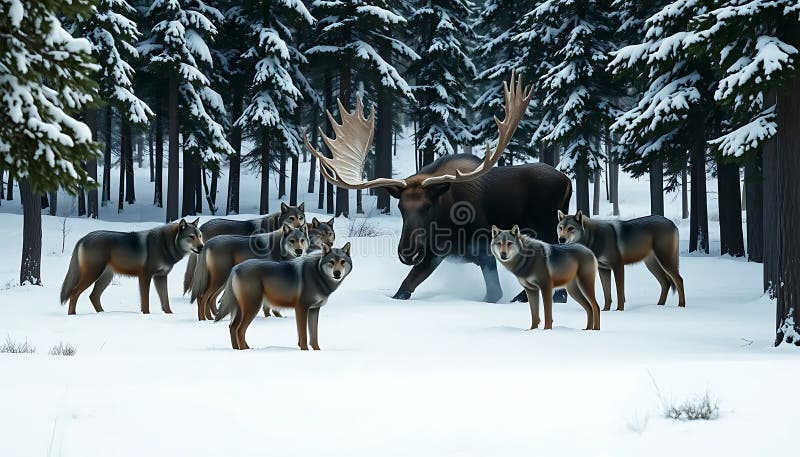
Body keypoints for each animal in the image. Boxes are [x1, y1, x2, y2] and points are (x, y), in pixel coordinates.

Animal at [60, 219, 203, 315]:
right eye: (191, 237)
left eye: (200, 235)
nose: (202, 246)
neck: (164, 245)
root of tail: (83, 238)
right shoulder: (145, 276)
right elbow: (145, 302)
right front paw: (146, 315)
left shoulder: (161, 277)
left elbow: (165, 301)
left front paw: (169, 315)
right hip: (93, 274)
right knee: (74, 293)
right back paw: (72, 315)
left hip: (105, 278)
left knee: (93, 296)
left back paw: (103, 314)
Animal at [215, 243, 352, 350]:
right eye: (331, 262)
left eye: (342, 262)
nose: (337, 273)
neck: (317, 274)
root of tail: (235, 268)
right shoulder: (301, 308)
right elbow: (303, 335)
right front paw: (305, 351)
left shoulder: (314, 309)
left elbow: (314, 336)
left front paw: (317, 351)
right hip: (252, 307)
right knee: (239, 330)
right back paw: (245, 351)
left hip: (241, 309)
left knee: (232, 327)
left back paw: (238, 349)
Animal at [557, 211, 686, 310]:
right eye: (561, 228)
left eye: (571, 228)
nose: (561, 239)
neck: (595, 238)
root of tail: (672, 223)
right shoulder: (603, 269)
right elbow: (607, 294)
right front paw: (605, 310)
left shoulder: (618, 265)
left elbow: (619, 291)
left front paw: (619, 310)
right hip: (652, 265)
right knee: (666, 283)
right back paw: (659, 307)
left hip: (665, 261)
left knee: (679, 280)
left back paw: (681, 306)